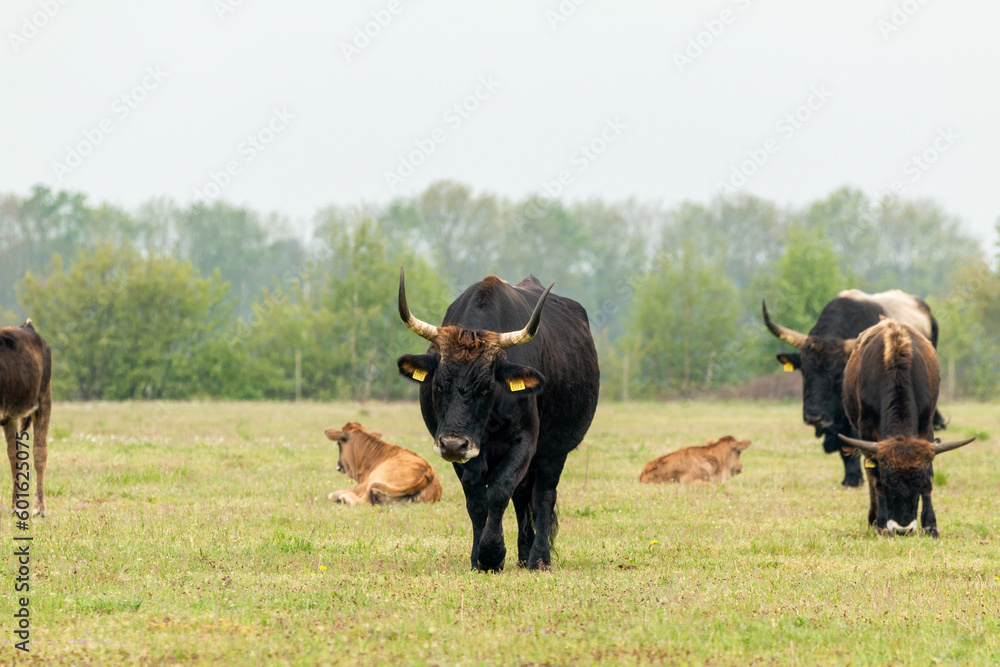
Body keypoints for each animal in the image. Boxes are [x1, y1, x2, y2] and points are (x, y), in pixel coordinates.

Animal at [0, 320, 52, 517]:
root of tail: (26, 326)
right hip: (9, 416)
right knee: (14, 455)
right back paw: (16, 506)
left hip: (44, 399)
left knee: (39, 452)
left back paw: (40, 507)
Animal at [396, 269, 599, 571]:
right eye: (438, 385)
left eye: (486, 386)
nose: (453, 445)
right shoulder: (465, 457)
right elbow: (477, 500)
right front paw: (479, 558)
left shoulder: (525, 443)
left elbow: (499, 492)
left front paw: (492, 552)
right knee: (522, 497)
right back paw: (524, 553)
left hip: (553, 452)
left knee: (542, 497)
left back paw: (538, 558)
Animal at [837, 318, 974, 536]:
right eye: (887, 481)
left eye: (918, 482)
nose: (903, 529)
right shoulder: (866, 430)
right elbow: (873, 477)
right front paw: (881, 523)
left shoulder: (926, 425)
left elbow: (931, 477)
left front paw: (930, 525)